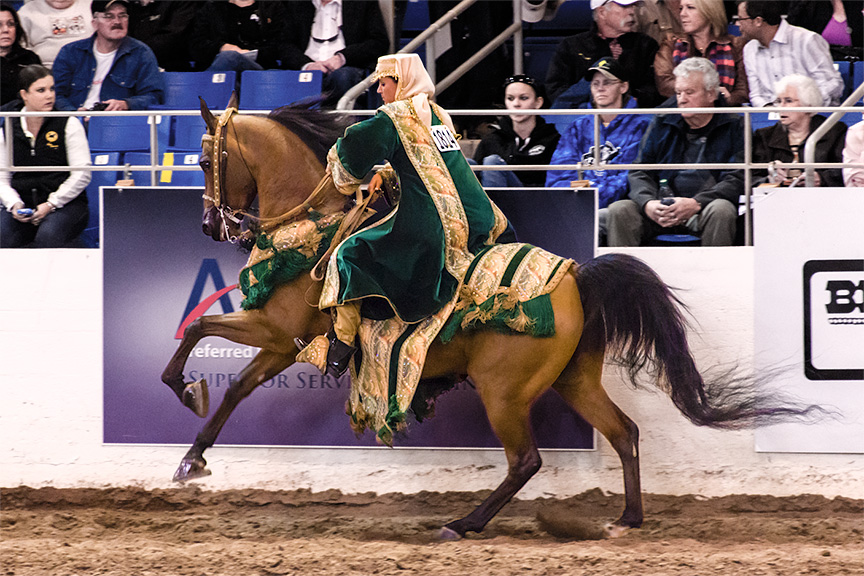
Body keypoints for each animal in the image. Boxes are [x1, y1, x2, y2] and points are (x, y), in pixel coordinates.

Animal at [161, 93, 813, 540]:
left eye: (204, 159)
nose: (211, 225)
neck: (314, 228)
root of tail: (578, 277)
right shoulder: (281, 342)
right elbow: (236, 387)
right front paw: (193, 457)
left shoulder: (277, 330)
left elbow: (196, 329)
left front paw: (185, 392)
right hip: (574, 380)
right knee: (624, 432)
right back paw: (626, 517)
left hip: (504, 392)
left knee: (527, 460)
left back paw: (465, 522)